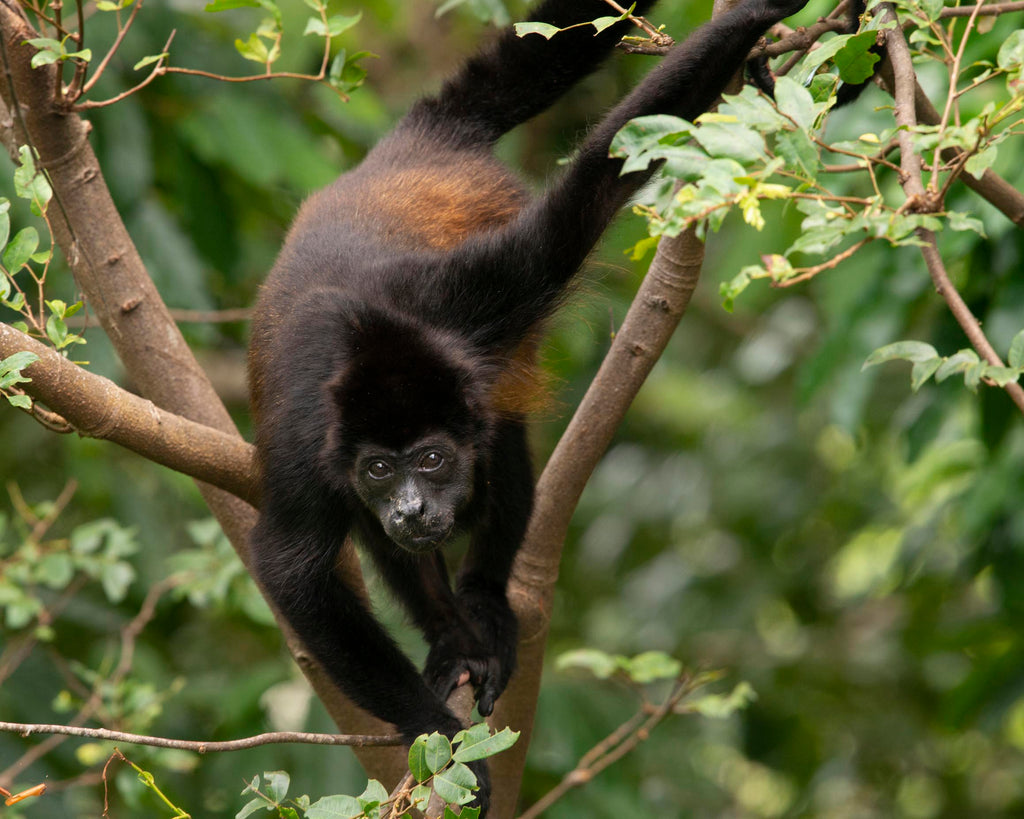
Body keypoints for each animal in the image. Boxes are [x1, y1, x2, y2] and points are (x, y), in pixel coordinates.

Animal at [247, 0, 811, 810]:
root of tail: (413, 144)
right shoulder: (306, 442)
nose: (410, 506)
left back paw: (484, 607)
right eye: (381, 467)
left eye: (431, 459)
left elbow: (584, 198)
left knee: (502, 439)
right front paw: (439, 732)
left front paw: (751, 18)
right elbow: (292, 570)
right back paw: (452, 630)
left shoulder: (478, 297)